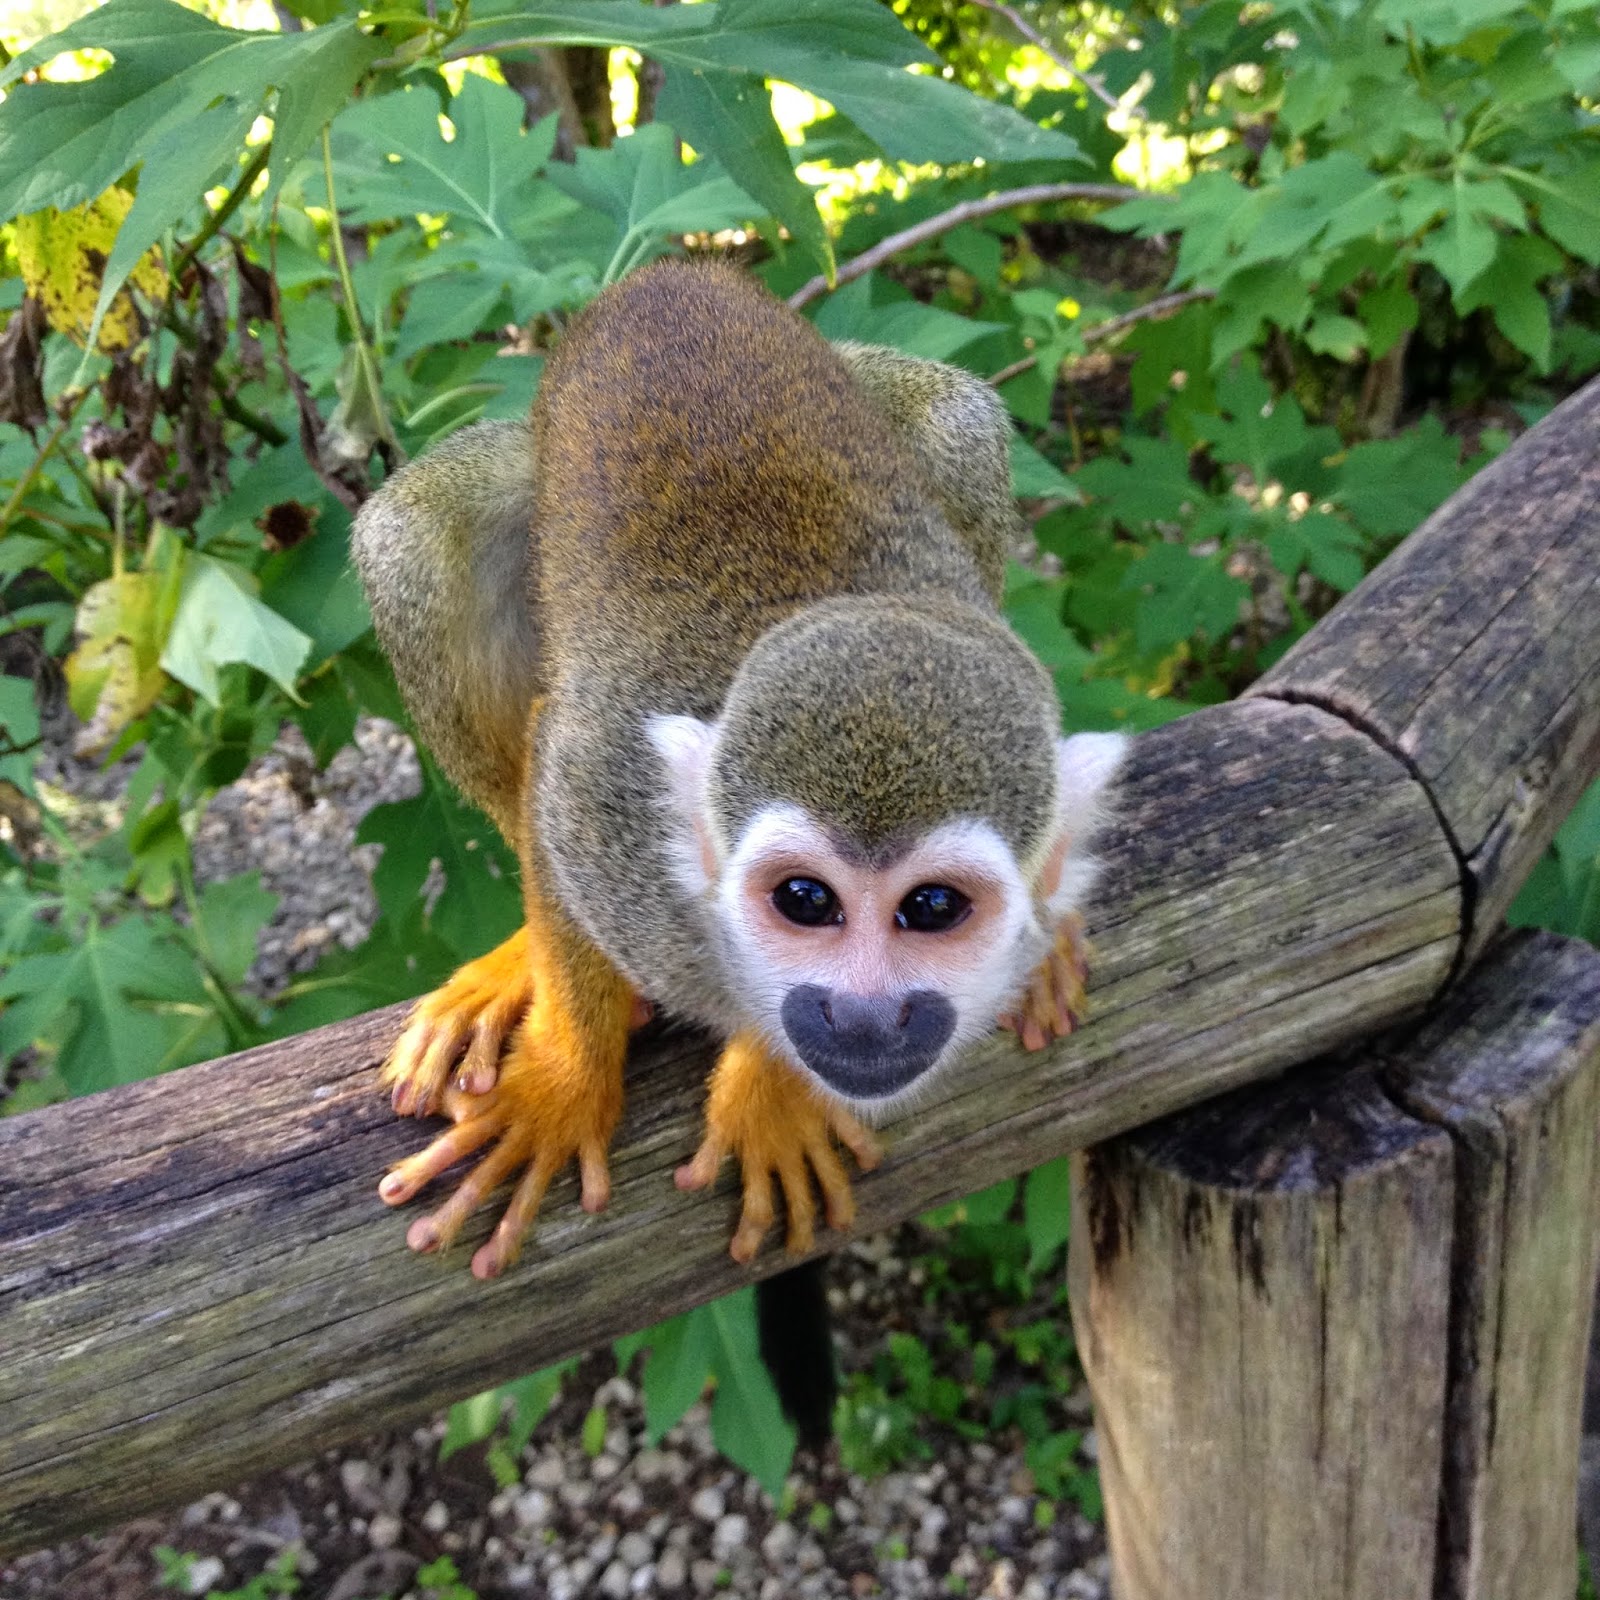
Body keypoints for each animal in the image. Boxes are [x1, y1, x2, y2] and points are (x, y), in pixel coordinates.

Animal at [351, 262, 1127, 1385]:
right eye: (803, 900)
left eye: (935, 910)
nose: (864, 1015)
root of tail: (668, 275)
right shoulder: (610, 801)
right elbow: (552, 768)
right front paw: (563, 1078)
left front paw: (770, 1089)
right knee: (410, 540)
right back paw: (522, 962)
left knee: (960, 422)